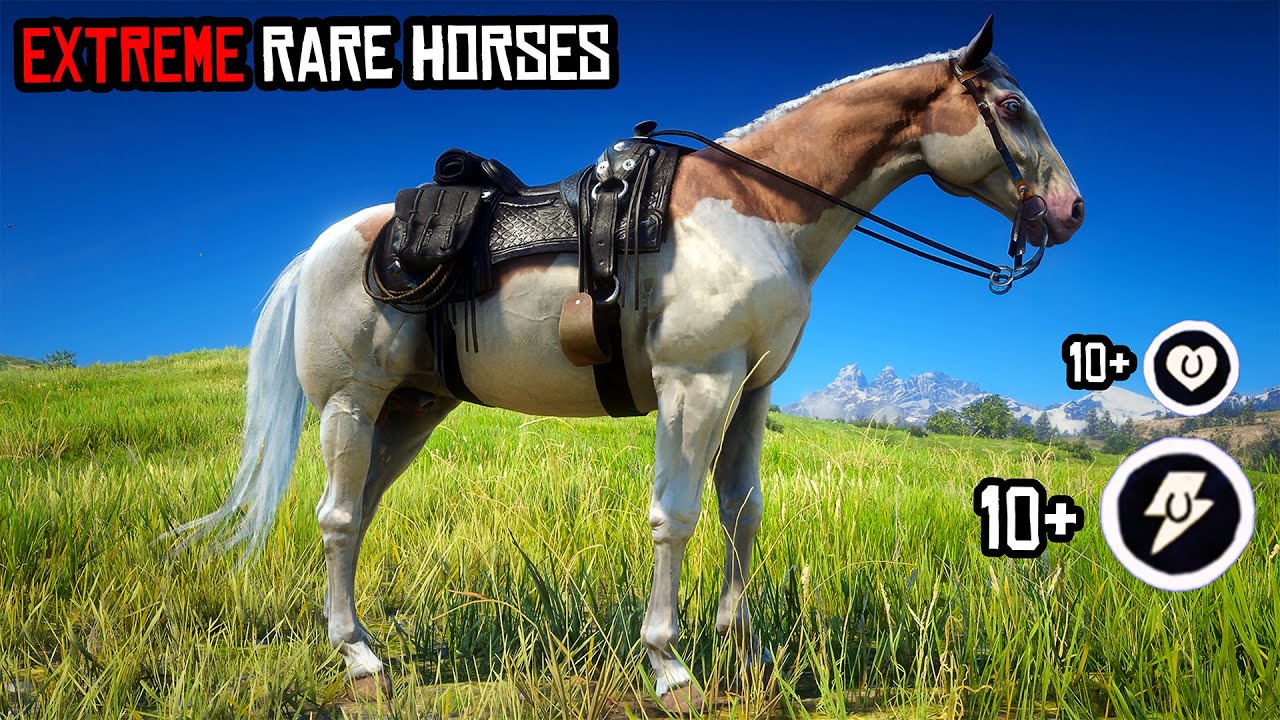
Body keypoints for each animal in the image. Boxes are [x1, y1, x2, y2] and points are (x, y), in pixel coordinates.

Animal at [174, 17, 1083, 712]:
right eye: (1011, 107)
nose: (1071, 211)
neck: (754, 210)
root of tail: (323, 247)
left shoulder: (751, 391)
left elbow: (741, 514)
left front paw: (747, 653)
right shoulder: (696, 384)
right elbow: (675, 517)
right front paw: (670, 666)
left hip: (410, 411)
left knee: (357, 515)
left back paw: (362, 642)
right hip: (351, 405)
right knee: (334, 519)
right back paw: (360, 663)